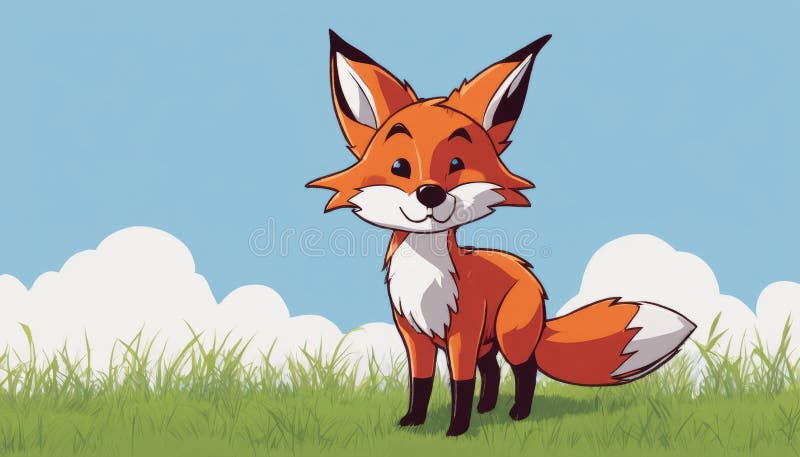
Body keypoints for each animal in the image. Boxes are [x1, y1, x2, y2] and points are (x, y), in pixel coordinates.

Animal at [308, 30, 696, 437]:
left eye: (457, 163)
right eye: (400, 166)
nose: (430, 193)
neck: (427, 276)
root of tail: (530, 276)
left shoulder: (462, 332)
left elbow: (460, 383)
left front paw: (455, 430)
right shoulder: (415, 337)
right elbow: (421, 383)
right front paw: (414, 421)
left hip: (510, 335)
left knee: (525, 370)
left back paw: (517, 413)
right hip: (488, 340)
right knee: (492, 370)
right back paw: (487, 409)